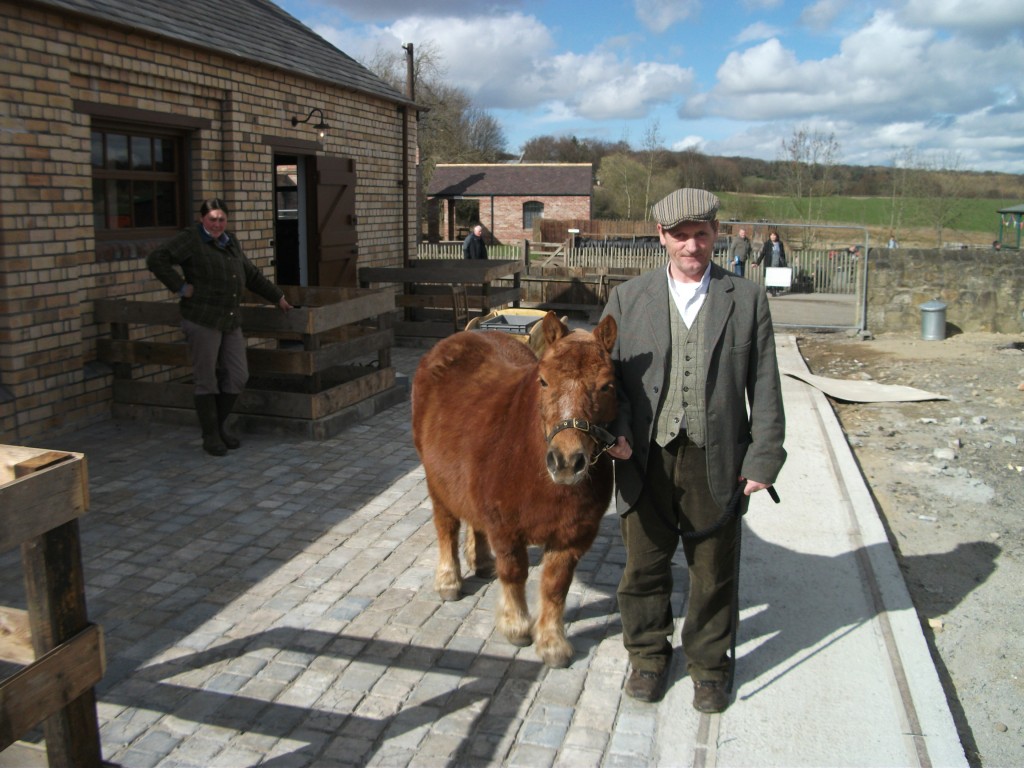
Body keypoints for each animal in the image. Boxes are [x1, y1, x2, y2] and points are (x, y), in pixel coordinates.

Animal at [411, 312, 618, 668]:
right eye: (544, 381)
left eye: (607, 385)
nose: (566, 462)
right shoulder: (506, 528)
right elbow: (514, 572)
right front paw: (517, 627)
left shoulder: (572, 537)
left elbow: (555, 586)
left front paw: (552, 644)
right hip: (436, 481)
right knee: (446, 526)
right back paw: (449, 580)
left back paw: (480, 561)